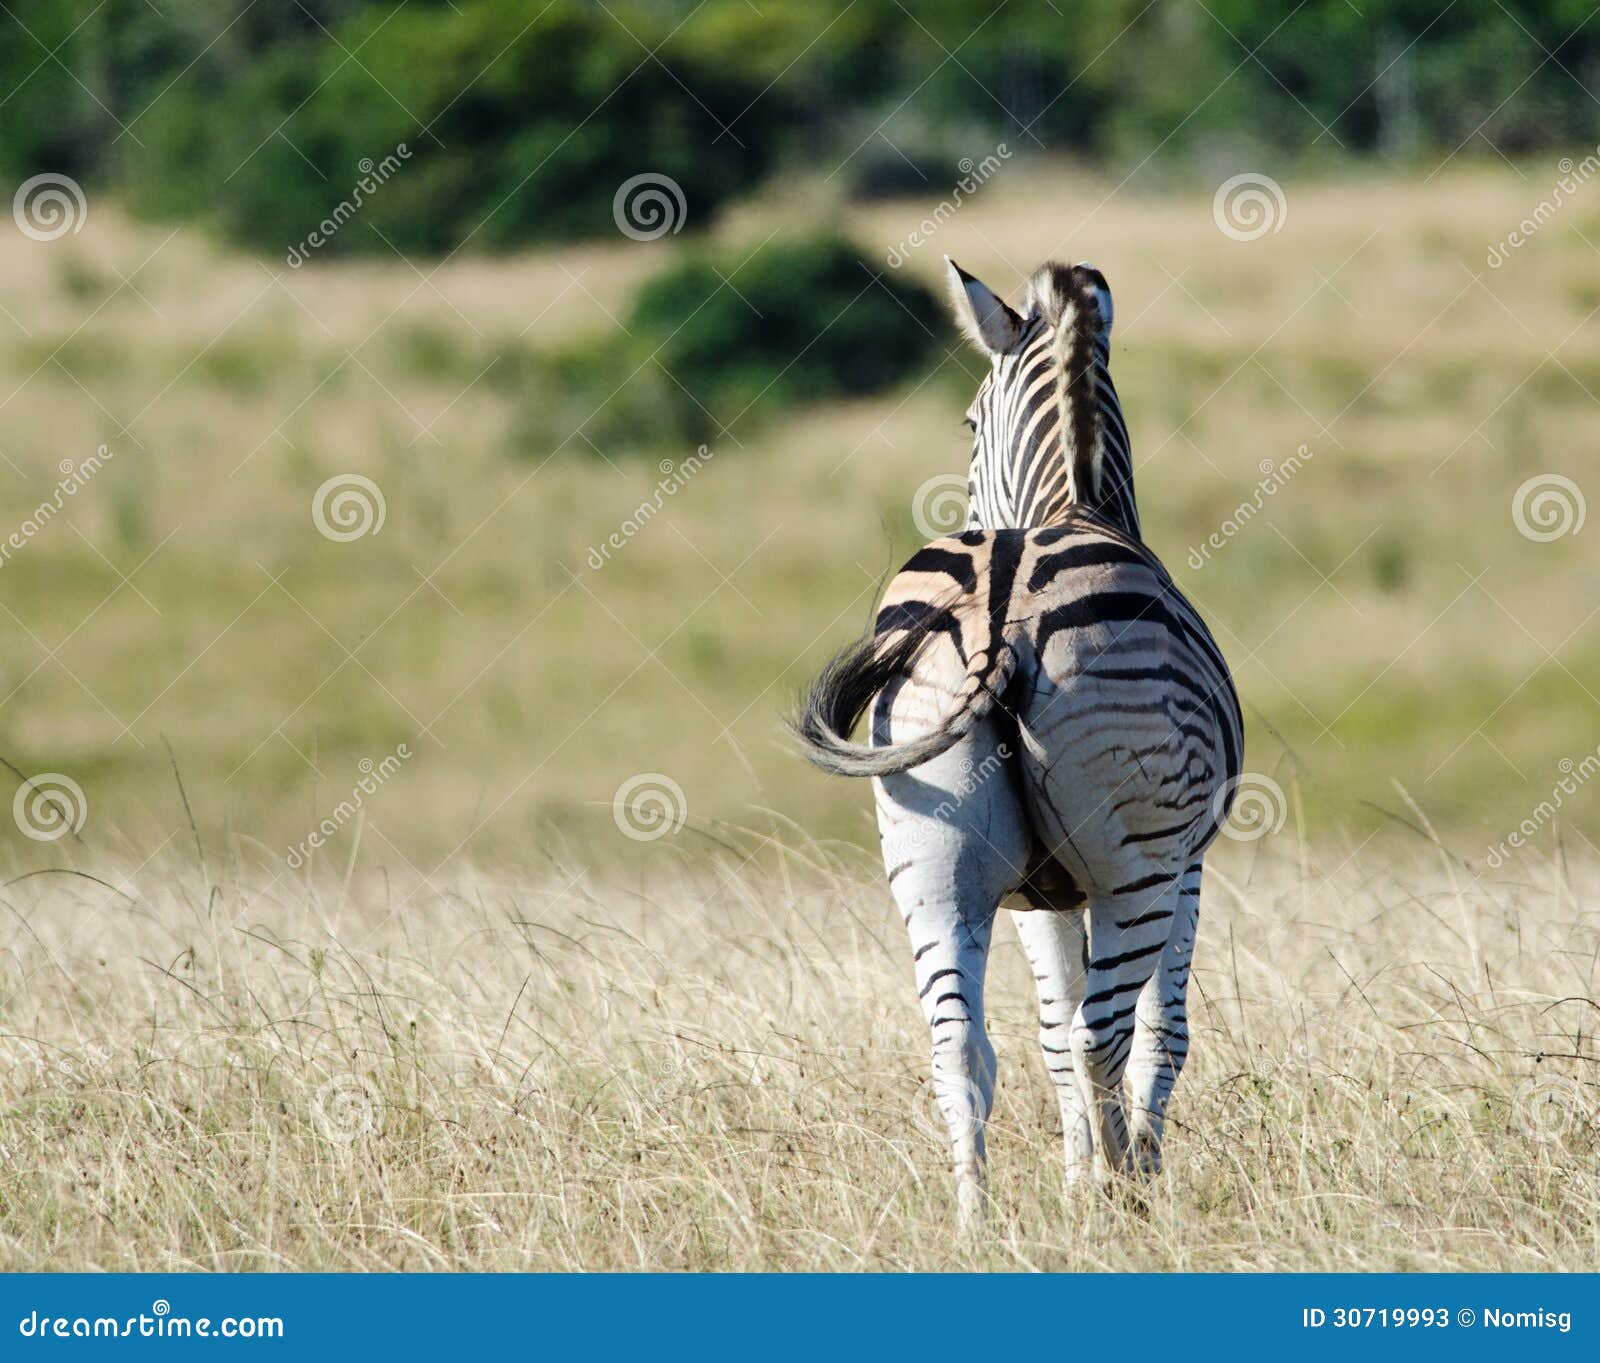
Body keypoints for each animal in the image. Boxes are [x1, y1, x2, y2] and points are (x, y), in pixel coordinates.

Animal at [792, 258, 1241, 1223]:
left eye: (966, 424)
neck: (1075, 503)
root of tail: (1002, 602)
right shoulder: (1182, 864)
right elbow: (1157, 1030)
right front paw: (1116, 1173)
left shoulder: (1041, 894)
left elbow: (1044, 1033)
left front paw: (1075, 1175)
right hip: (1137, 863)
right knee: (1101, 1030)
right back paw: (1123, 1194)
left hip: (929, 863)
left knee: (961, 1049)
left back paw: (975, 1220)